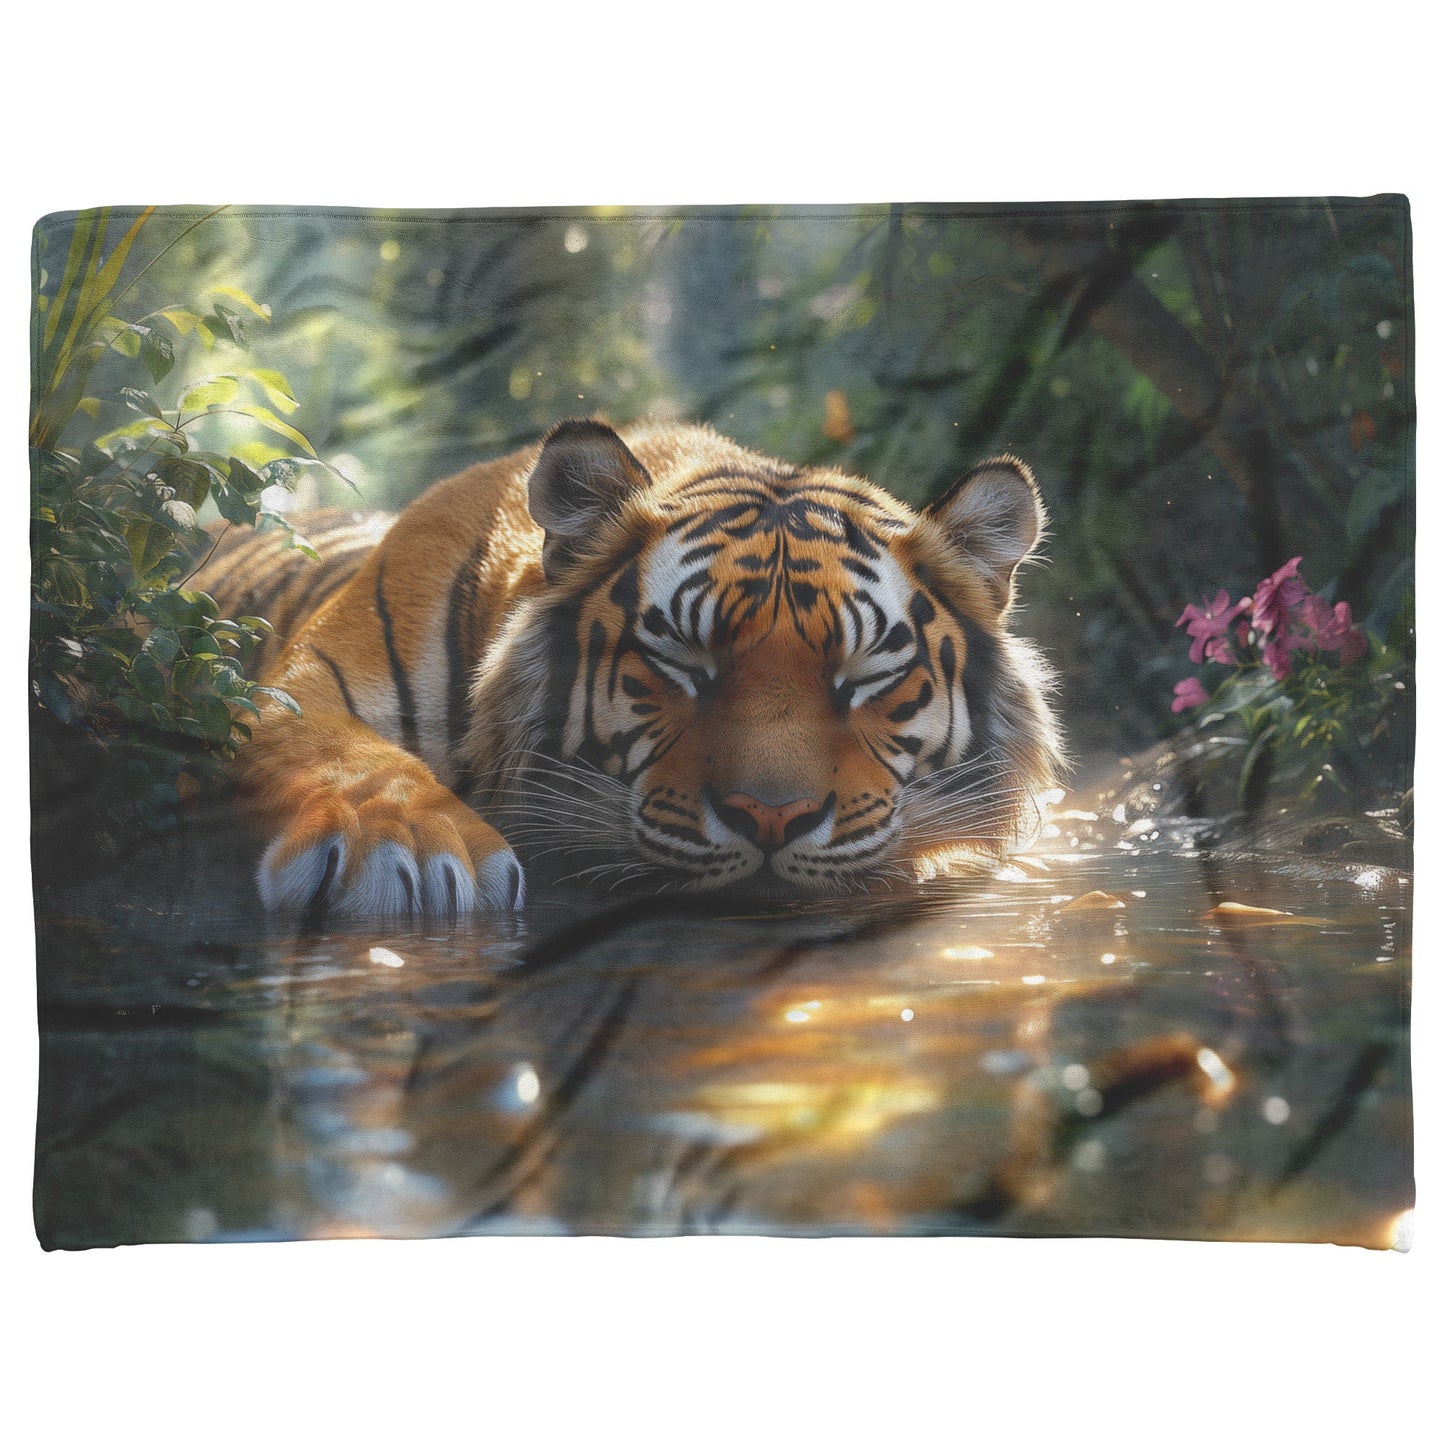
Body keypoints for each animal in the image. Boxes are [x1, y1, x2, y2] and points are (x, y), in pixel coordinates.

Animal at [199, 419, 1064, 915]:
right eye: (682, 659)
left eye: (864, 674)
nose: (771, 818)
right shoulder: (301, 691)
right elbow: (352, 759)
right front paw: (405, 851)